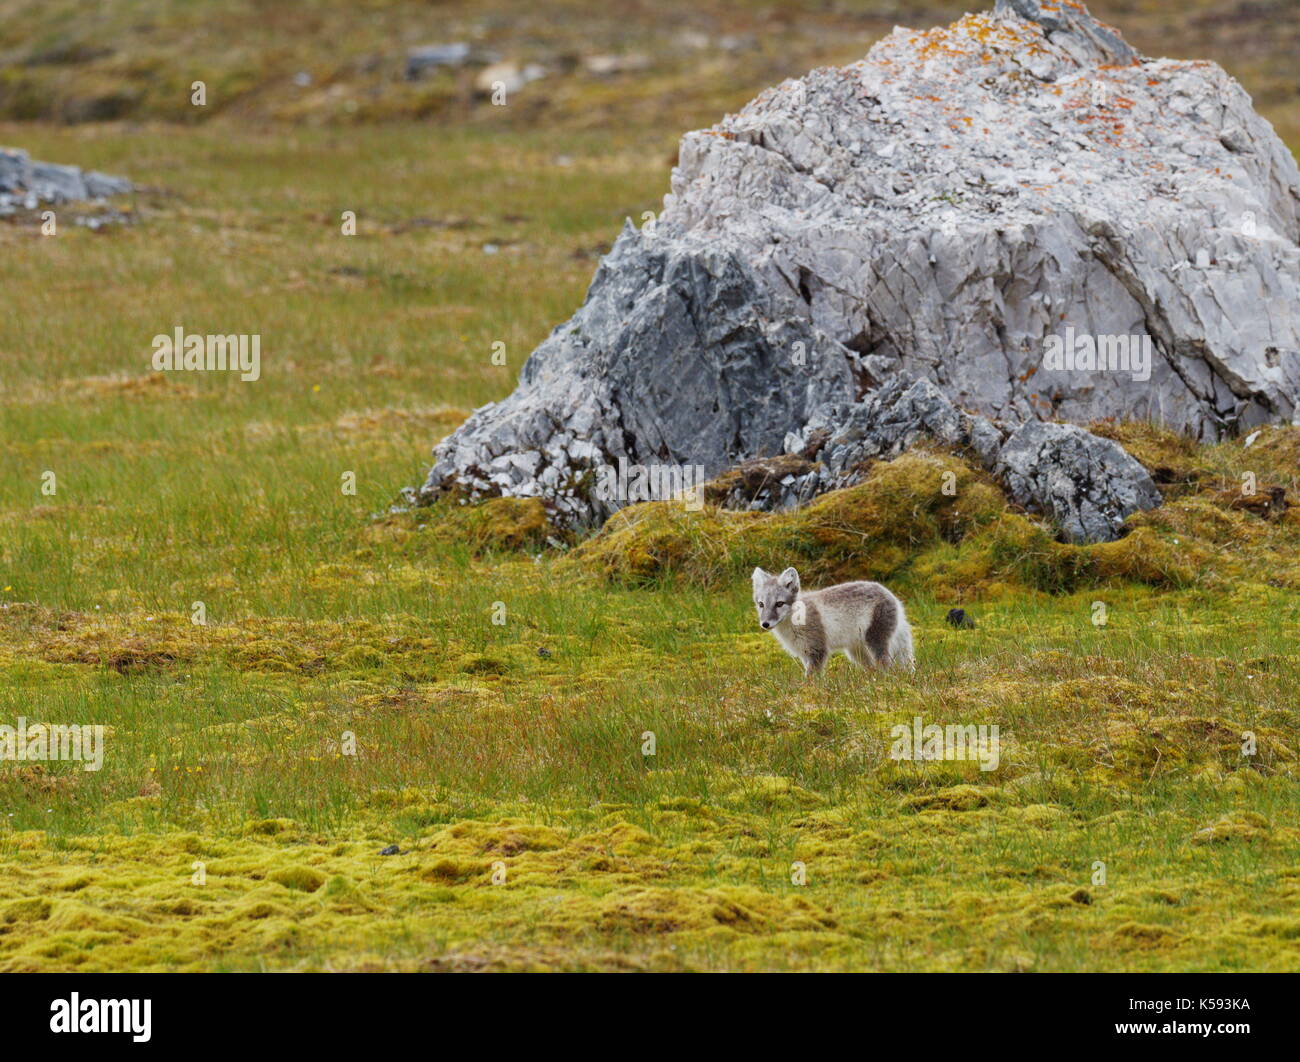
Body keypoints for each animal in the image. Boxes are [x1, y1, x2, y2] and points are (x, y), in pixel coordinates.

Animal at [751, 566, 914, 678]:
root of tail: (890, 594)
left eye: (779, 604)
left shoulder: (817, 650)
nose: (765, 624)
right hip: (856, 652)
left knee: (886, 665)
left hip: (875, 641)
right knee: (874, 667)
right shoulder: (805, 654)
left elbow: (811, 678)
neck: (795, 618)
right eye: (761, 604)